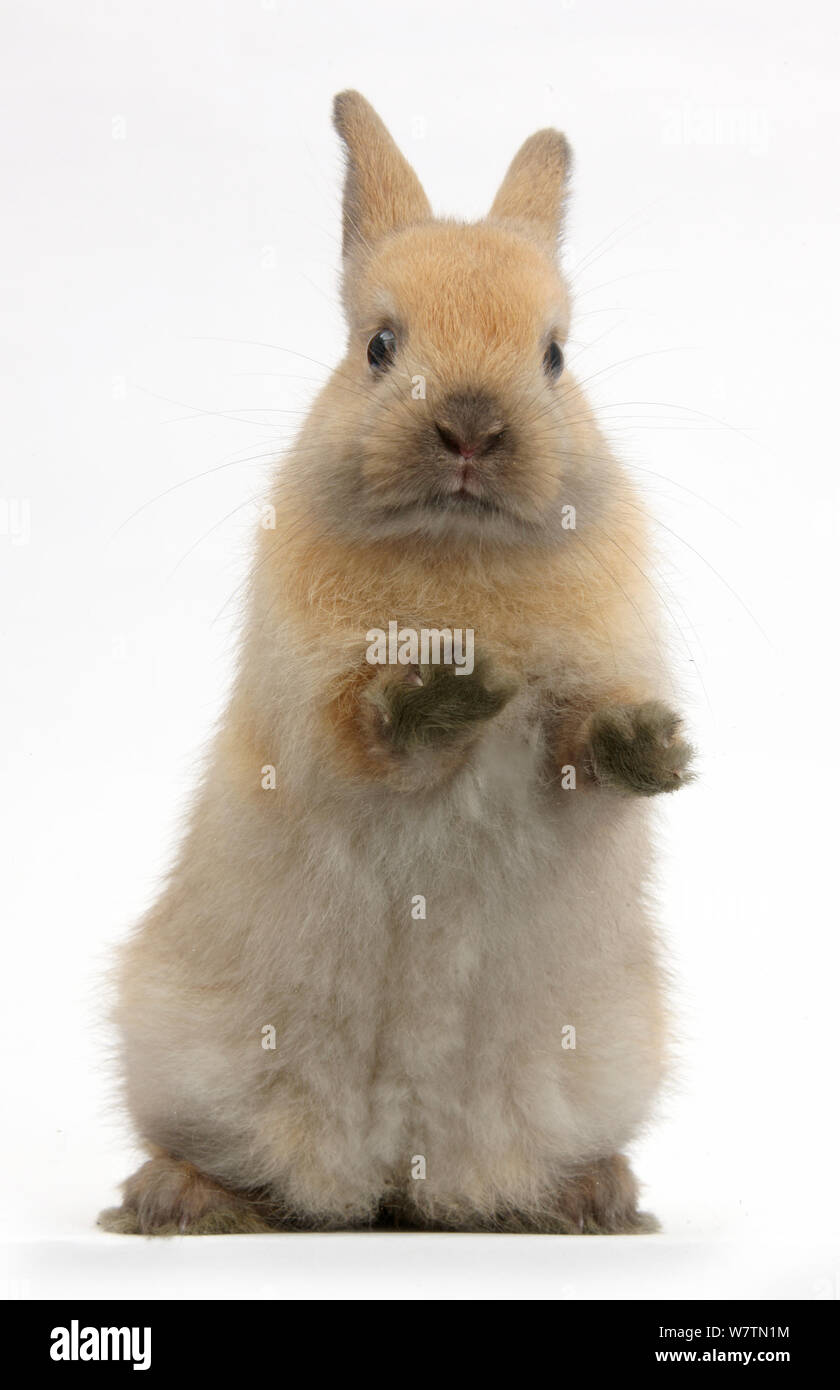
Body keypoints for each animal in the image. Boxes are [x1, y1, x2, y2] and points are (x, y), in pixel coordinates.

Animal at [99, 91, 694, 1236]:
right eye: (378, 345)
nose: (469, 426)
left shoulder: (572, 723)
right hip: (186, 1055)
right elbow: (378, 729)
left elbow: (582, 745)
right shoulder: (322, 710)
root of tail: (398, 1180)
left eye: (555, 356)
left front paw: (654, 743)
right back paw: (177, 1198)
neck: (456, 546)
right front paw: (456, 681)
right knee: (219, 1155)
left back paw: (597, 1194)